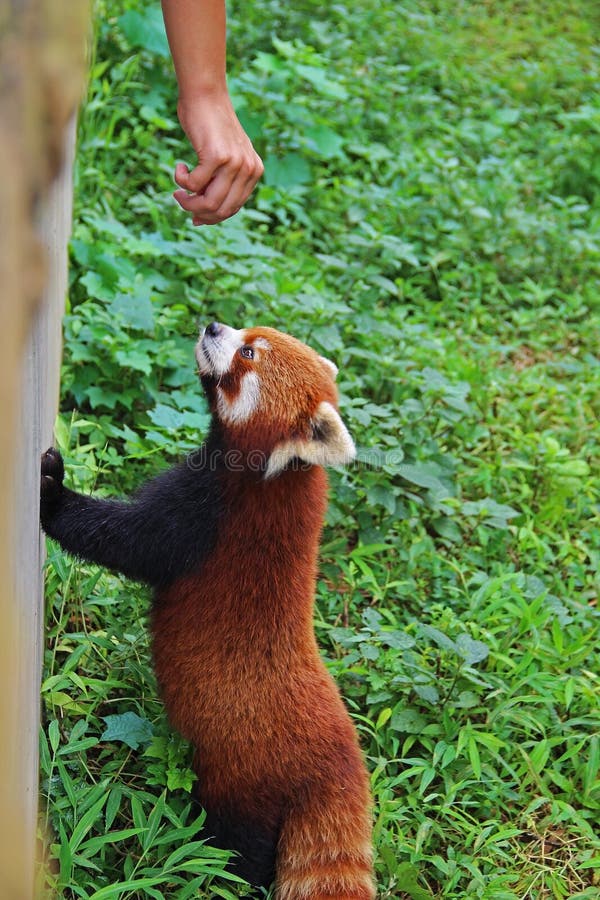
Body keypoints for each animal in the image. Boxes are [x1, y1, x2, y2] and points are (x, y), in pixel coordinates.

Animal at [40, 322, 375, 900]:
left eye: (248, 353)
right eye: (248, 331)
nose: (214, 326)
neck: (280, 475)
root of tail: (339, 767)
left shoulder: (204, 520)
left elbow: (125, 543)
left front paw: (54, 493)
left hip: (243, 782)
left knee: (240, 846)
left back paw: (211, 872)